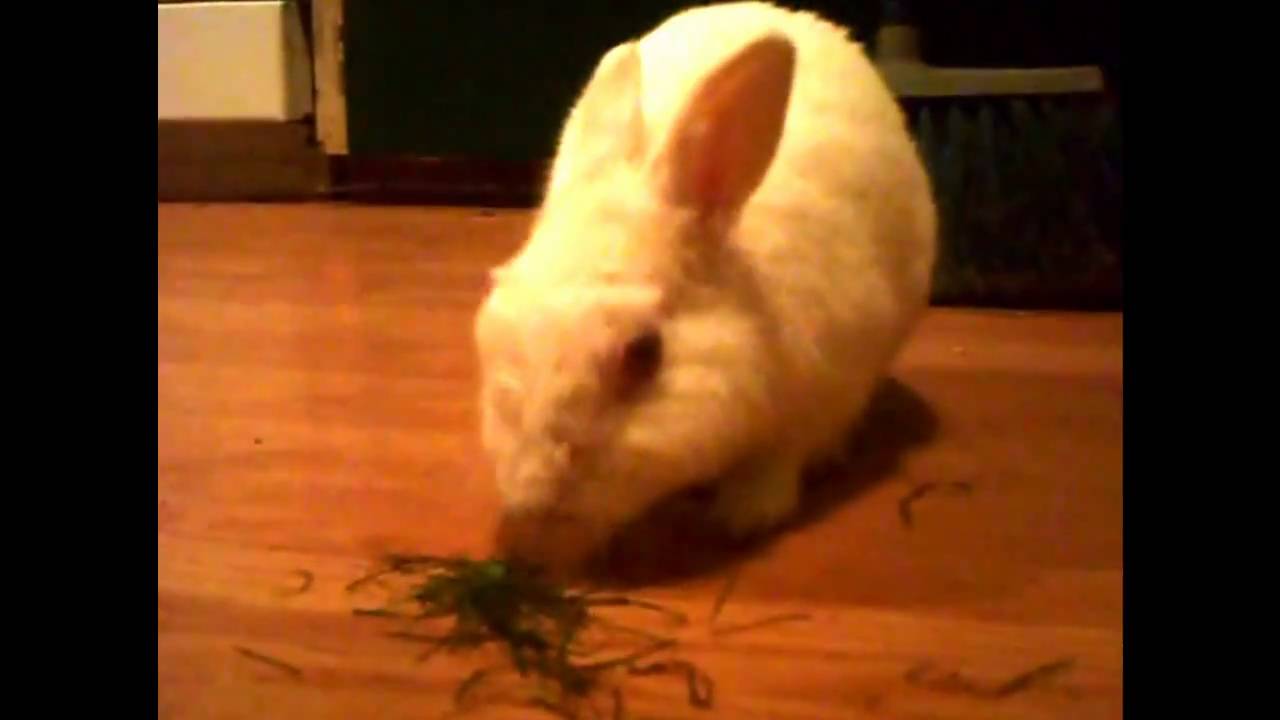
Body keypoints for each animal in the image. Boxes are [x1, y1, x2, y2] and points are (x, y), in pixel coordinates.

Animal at [474, 1, 936, 570]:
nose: (534, 499)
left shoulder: (825, 394)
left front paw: (745, 514)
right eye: (493, 321)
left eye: (643, 353)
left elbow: (779, 460)